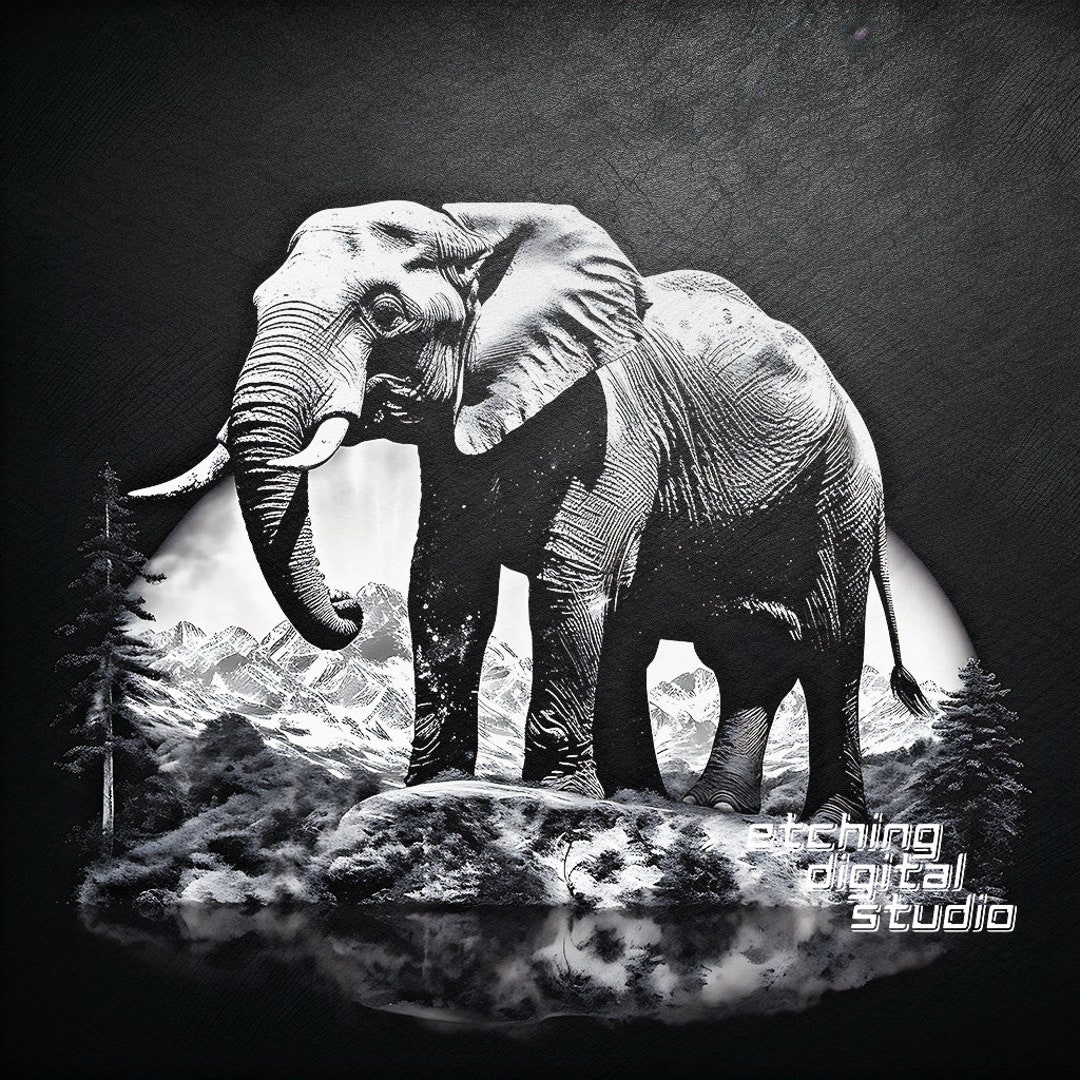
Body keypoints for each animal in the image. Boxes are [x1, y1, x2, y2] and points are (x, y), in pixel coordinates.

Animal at [133, 200, 930, 823]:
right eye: (258, 307)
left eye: (385, 314)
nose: (351, 604)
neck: (474, 234)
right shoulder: (457, 442)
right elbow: (444, 589)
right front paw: (435, 787)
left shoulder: (611, 423)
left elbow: (566, 582)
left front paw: (554, 796)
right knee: (727, 650)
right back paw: (686, 806)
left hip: (842, 495)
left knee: (828, 646)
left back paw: (824, 819)